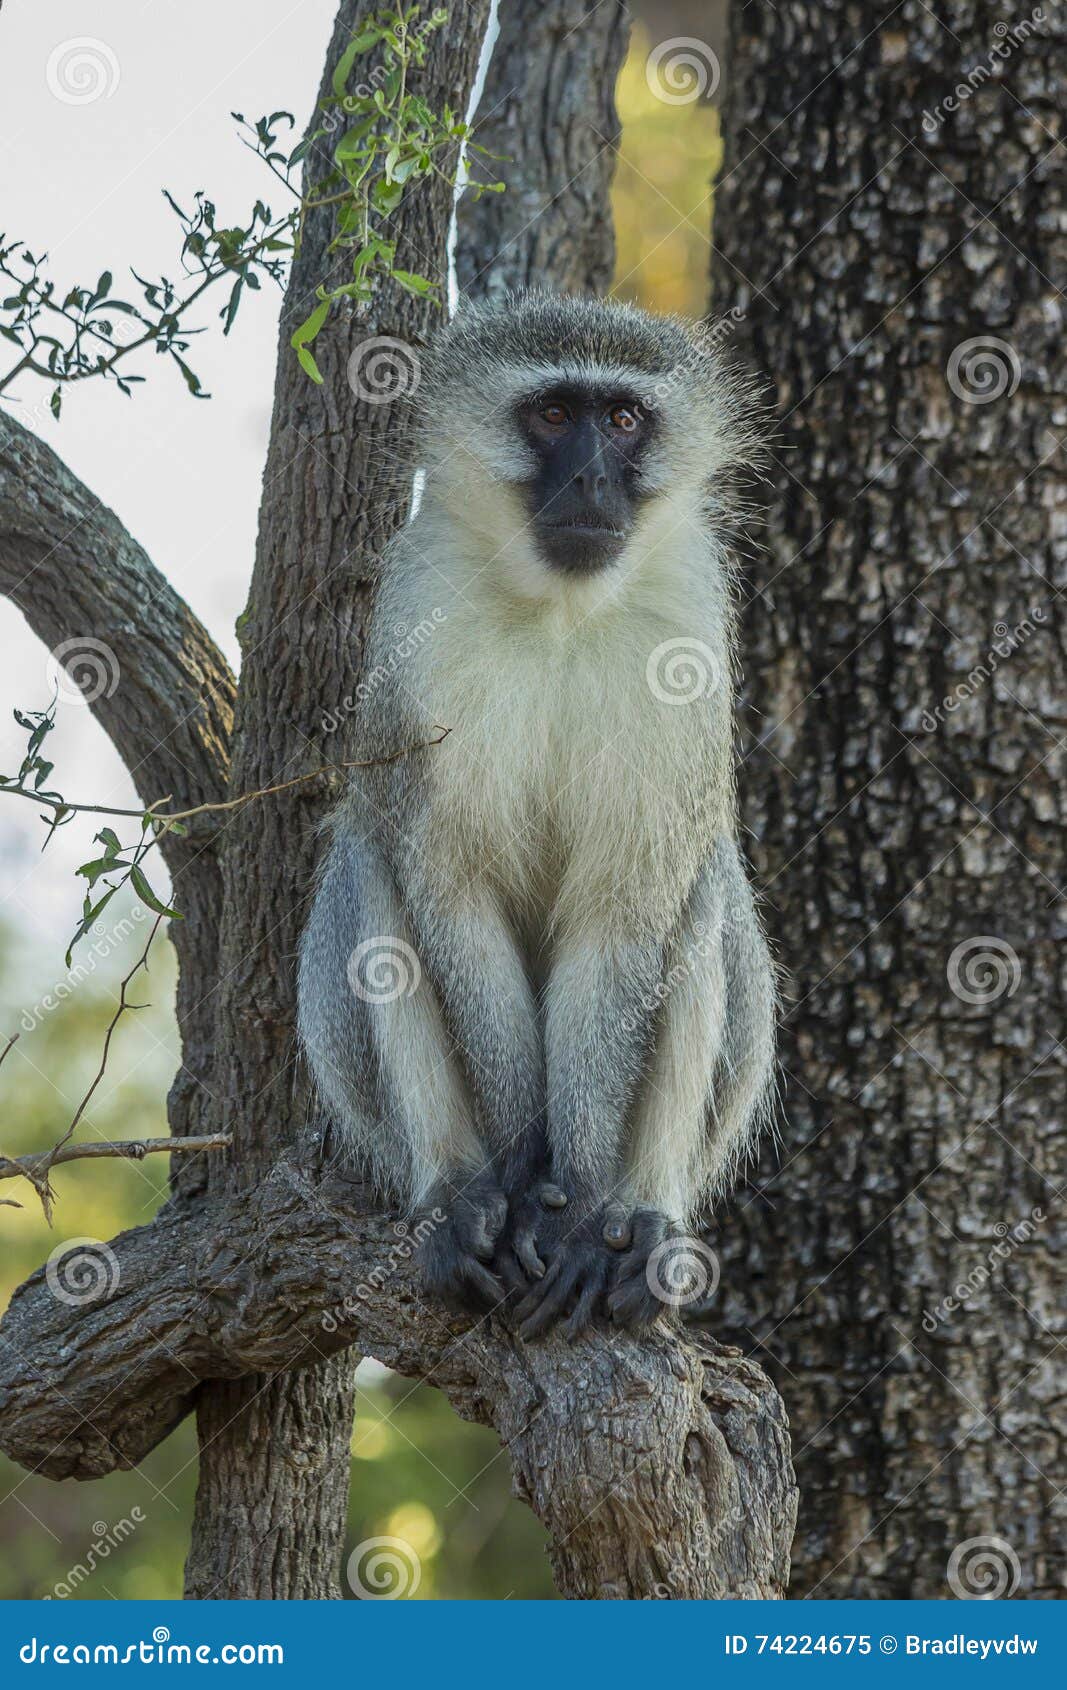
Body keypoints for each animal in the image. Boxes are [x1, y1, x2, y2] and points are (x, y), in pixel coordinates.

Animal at [297, 290, 776, 1339]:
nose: (593, 475)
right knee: (373, 859)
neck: (561, 609)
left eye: (625, 418)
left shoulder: (685, 628)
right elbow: (447, 890)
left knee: (700, 887)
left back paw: (644, 1221)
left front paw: (585, 1207)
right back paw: (453, 1199)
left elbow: (626, 917)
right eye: (554, 414)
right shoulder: (418, 621)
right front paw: (515, 1184)